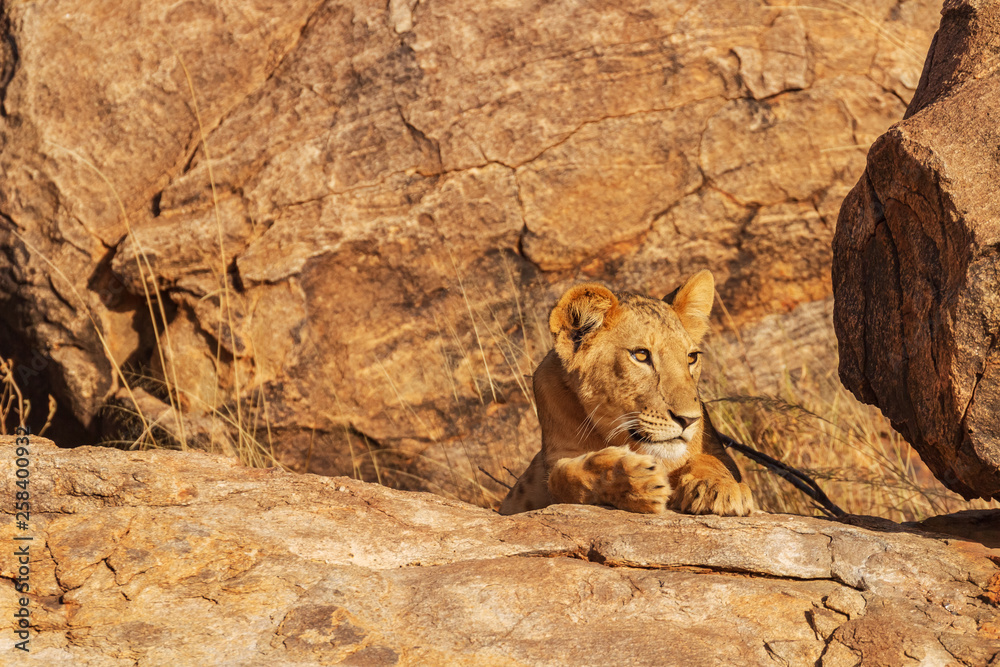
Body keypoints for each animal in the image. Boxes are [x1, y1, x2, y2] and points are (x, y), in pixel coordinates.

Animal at [498, 270, 753, 517]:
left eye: (691, 357)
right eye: (641, 355)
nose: (689, 420)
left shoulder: (711, 450)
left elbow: (710, 460)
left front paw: (717, 488)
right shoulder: (553, 460)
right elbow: (562, 478)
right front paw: (633, 480)